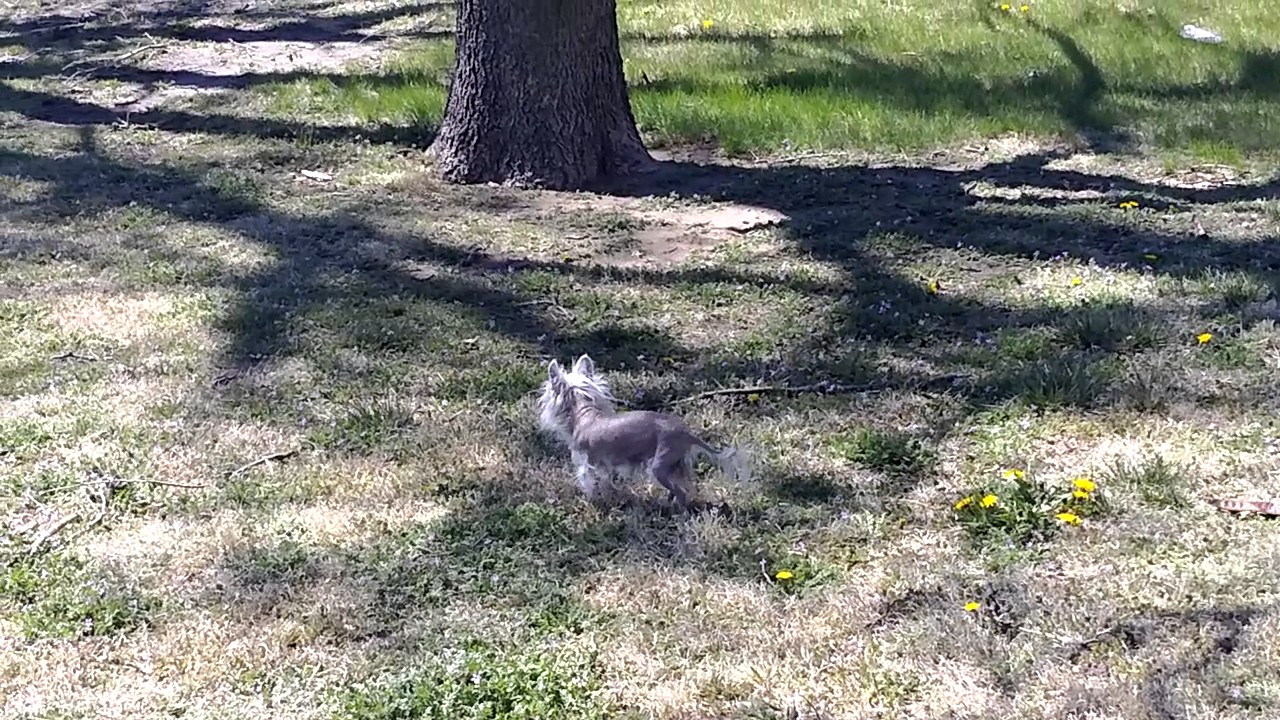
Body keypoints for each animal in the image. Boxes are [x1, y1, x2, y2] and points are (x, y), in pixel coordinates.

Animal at [535, 354, 750, 510]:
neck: (585, 414)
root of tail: (686, 433)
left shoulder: (588, 464)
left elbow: (590, 483)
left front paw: (594, 501)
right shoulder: (605, 466)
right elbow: (606, 483)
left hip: (659, 467)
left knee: (681, 493)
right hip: (676, 465)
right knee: (684, 487)